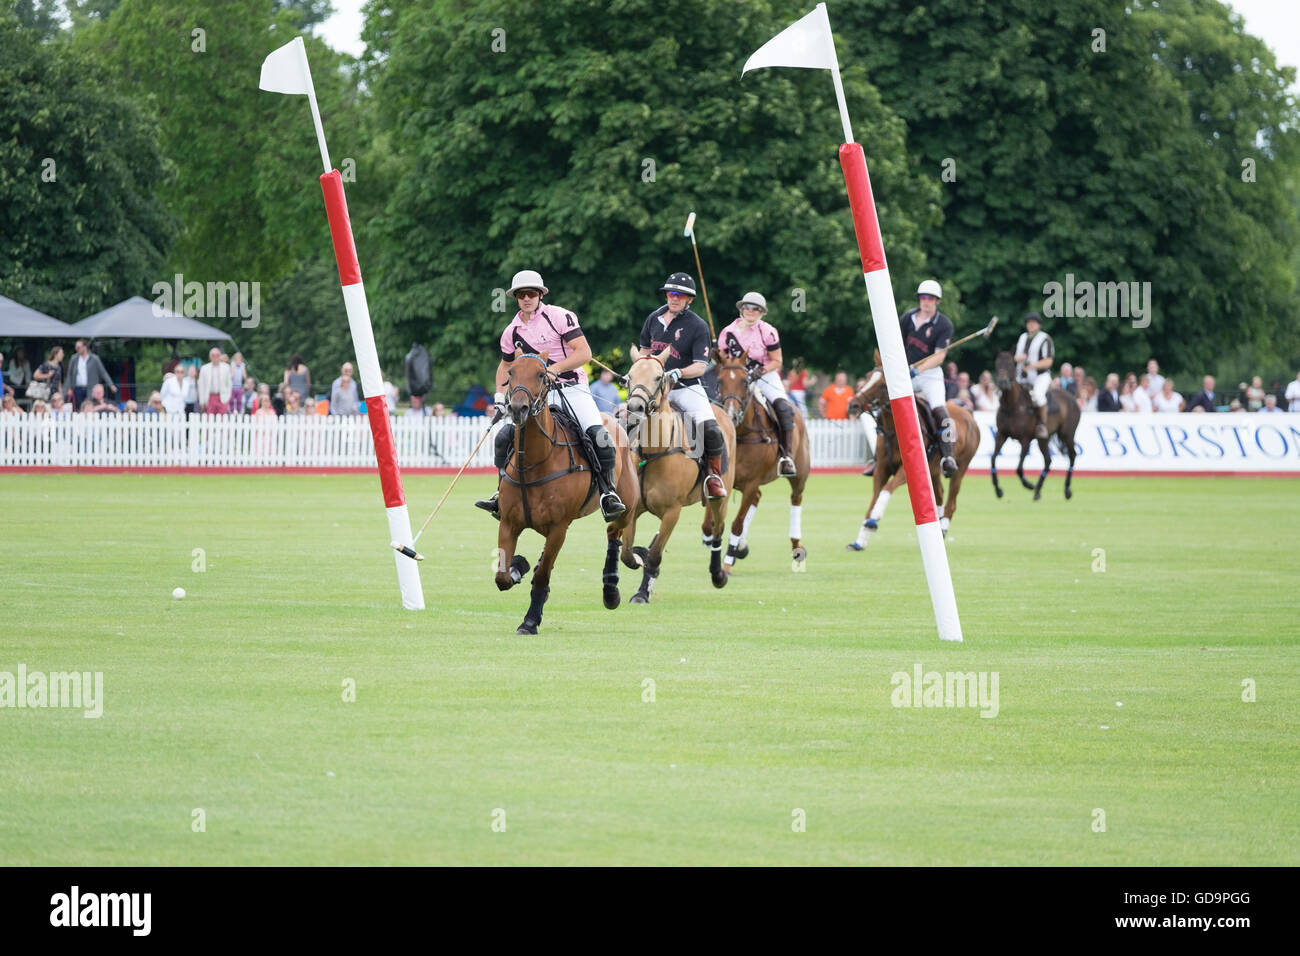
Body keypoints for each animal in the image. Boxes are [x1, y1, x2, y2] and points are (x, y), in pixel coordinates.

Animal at [493, 353, 642, 634]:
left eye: (542, 375)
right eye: (511, 372)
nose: (518, 409)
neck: (534, 463)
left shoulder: (559, 527)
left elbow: (542, 576)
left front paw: (530, 621)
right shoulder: (508, 523)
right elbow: (503, 576)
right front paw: (520, 566)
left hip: (627, 506)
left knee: (613, 533)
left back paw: (611, 592)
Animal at [621, 348, 738, 606]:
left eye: (658, 377)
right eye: (629, 376)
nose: (635, 406)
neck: (654, 451)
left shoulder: (672, 511)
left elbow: (655, 556)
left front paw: (643, 591)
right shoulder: (634, 510)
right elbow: (628, 554)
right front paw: (640, 563)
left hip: (720, 497)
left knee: (717, 529)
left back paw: (718, 575)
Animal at [707, 353, 806, 572]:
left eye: (745, 382)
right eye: (719, 381)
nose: (731, 414)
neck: (741, 435)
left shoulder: (751, 483)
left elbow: (737, 524)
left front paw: (727, 564)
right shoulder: (722, 481)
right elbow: (709, 523)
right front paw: (715, 541)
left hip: (800, 473)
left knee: (796, 497)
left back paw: (797, 546)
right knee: (758, 498)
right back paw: (740, 548)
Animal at [842, 356, 977, 554]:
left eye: (883, 384)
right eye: (867, 377)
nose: (853, 405)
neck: (893, 430)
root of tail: (969, 413)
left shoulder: (906, 471)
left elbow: (886, 490)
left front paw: (874, 520)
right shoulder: (881, 468)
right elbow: (874, 498)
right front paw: (860, 540)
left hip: (961, 467)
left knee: (951, 502)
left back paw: (943, 530)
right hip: (933, 470)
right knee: (939, 495)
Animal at [987, 348, 1081, 502]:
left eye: (1011, 365)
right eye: (997, 363)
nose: (1003, 382)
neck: (1012, 405)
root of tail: (1072, 398)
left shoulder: (1025, 439)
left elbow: (1019, 468)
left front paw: (1028, 484)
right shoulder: (1001, 435)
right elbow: (993, 459)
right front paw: (998, 490)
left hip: (1067, 433)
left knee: (1072, 455)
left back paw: (1066, 490)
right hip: (1044, 438)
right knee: (1048, 461)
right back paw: (1037, 491)